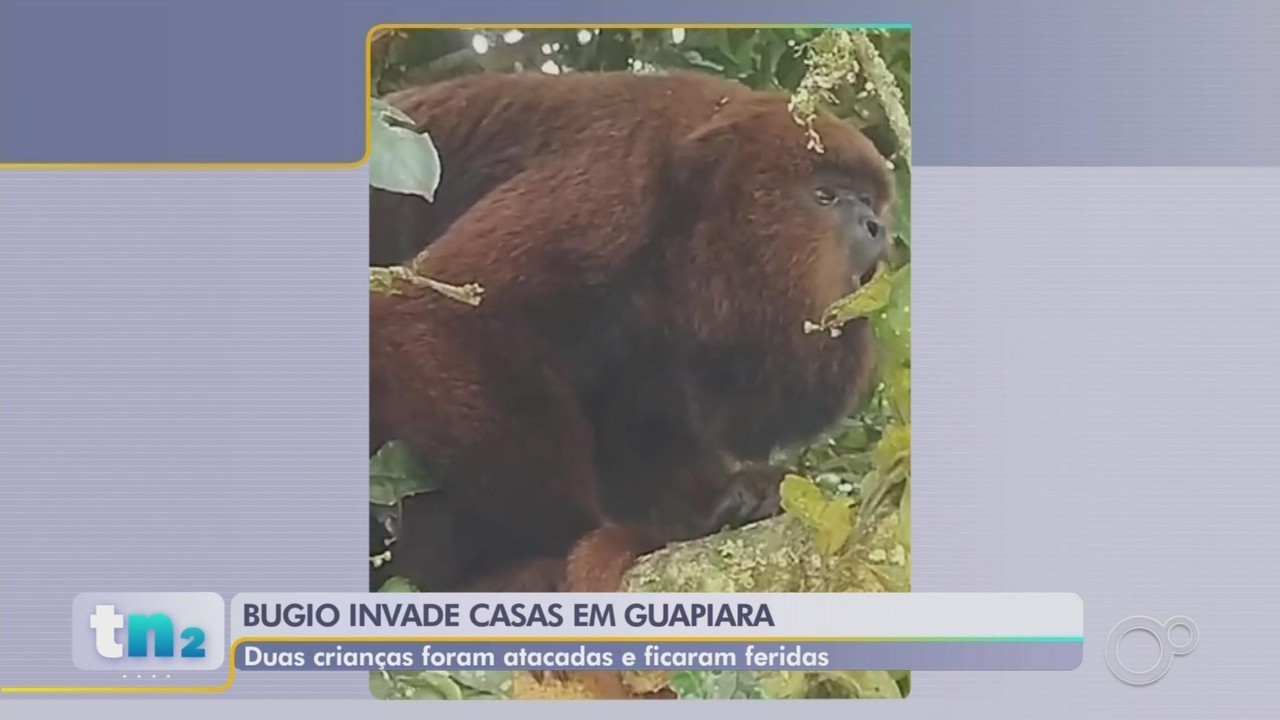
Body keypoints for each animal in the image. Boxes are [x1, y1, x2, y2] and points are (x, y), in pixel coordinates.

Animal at [369, 69, 893, 595]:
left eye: (868, 200)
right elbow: (437, 317)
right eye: (826, 195)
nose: (875, 227)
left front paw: (734, 496)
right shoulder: (610, 183)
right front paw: (602, 533)